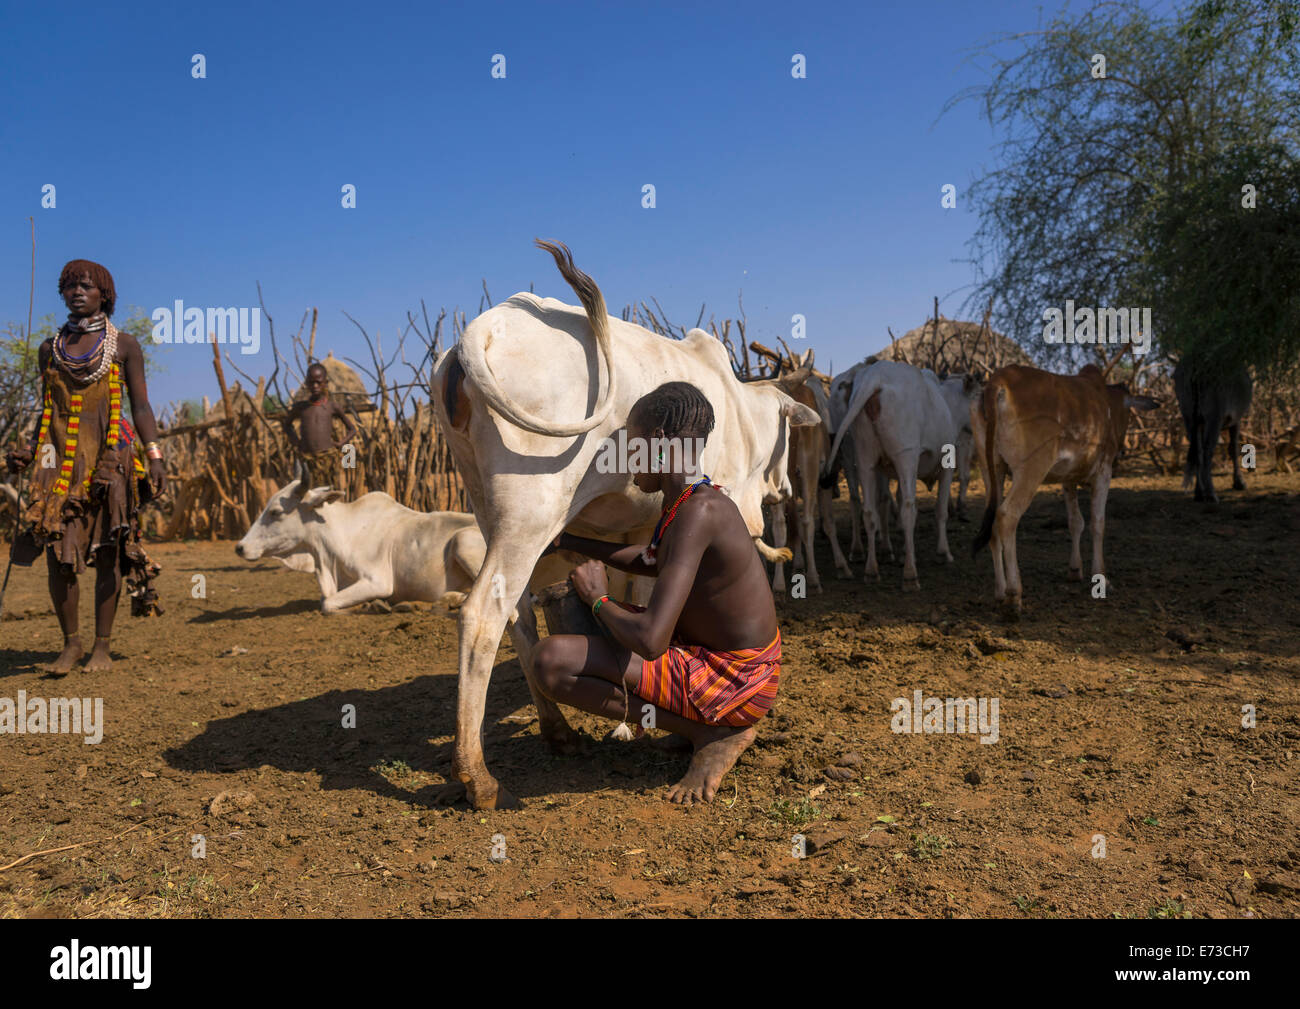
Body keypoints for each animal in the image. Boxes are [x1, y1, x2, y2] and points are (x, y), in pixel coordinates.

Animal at [430, 240, 822, 809]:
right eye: (788, 431)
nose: (785, 488)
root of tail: (479, 328)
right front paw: (634, 724)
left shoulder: (635, 534)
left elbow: (630, 592)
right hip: (530, 510)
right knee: (483, 615)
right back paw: (476, 776)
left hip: (489, 507)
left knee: (519, 615)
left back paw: (559, 732)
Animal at [822, 360, 979, 589]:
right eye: (978, 394)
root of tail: (875, 377)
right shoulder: (947, 465)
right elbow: (940, 510)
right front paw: (943, 553)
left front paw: (904, 548)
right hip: (906, 456)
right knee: (907, 509)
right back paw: (910, 575)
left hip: (864, 458)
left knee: (867, 510)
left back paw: (871, 569)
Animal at [970, 364, 1159, 614]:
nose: (1123, 451)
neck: (1107, 401)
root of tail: (998, 380)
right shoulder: (1104, 472)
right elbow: (1098, 523)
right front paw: (1102, 578)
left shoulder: (1068, 480)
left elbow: (1075, 522)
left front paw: (1075, 570)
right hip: (1031, 468)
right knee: (1006, 516)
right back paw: (1014, 595)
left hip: (991, 469)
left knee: (991, 521)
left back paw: (1000, 593)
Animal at [1173, 360, 1253, 503]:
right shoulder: (1235, 420)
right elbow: (1233, 449)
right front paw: (1239, 482)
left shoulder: (1201, 424)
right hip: (1214, 418)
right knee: (1207, 452)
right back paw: (1211, 493)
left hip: (1189, 418)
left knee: (1197, 452)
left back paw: (1199, 493)